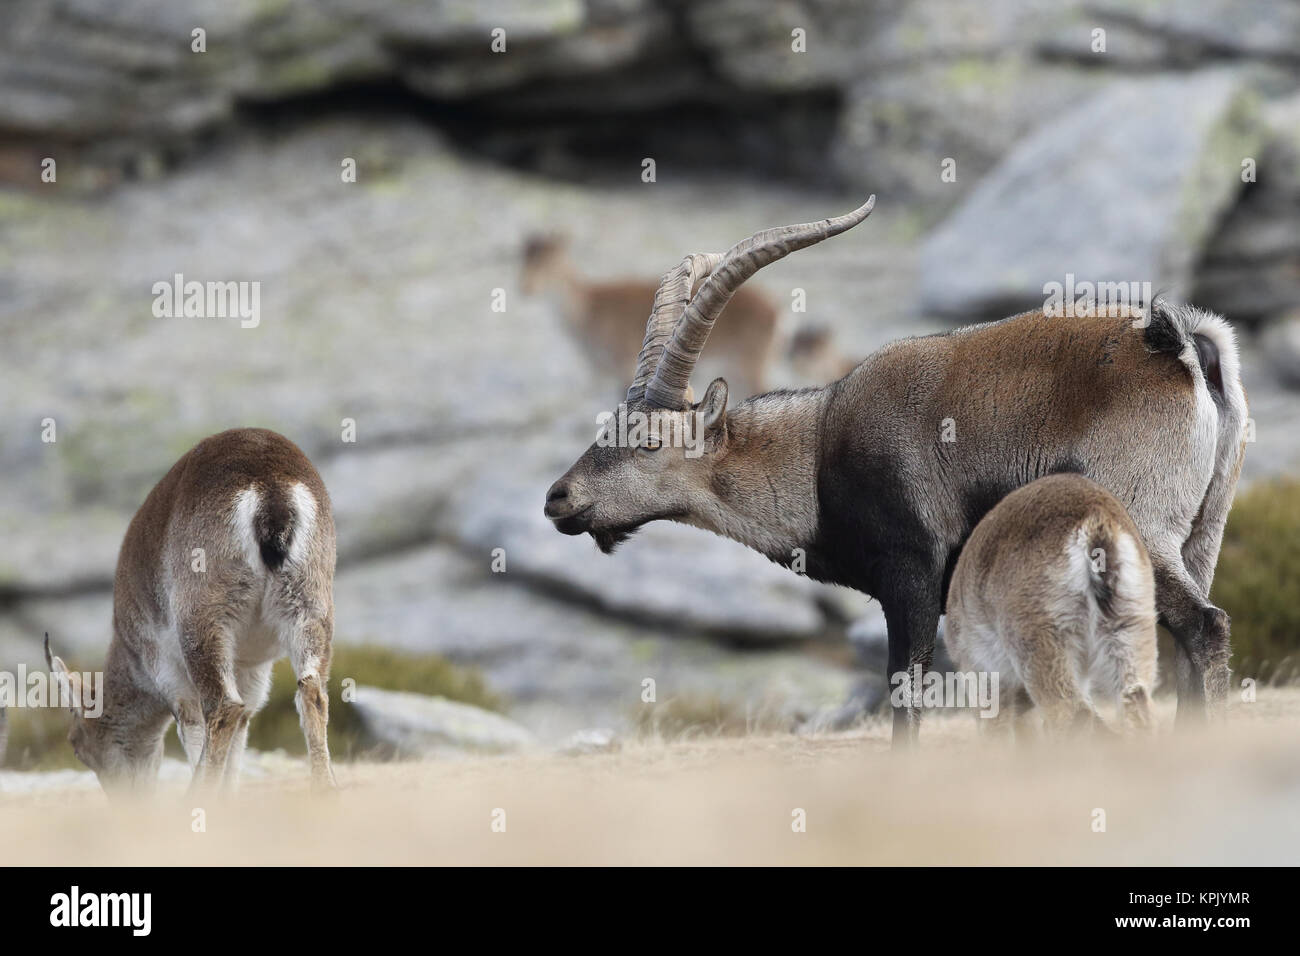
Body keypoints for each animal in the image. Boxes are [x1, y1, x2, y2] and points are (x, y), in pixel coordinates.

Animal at [45, 428, 337, 794]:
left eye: (76, 745)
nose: (124, 800)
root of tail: (271, 489)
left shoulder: (164, 665)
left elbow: (192, 721)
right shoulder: (251, 667)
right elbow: (244, 724)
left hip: (203, 620)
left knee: (224, 707)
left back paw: (195, 794)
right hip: (309, 604)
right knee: (312, 692)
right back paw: (324, 789)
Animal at [521, 232, 779, 399]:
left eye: (550, 262)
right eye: (521, 258)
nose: (526, 287)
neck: (589, 309)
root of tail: (776, 310)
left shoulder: (624, 365)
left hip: (752, 363)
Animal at [944, 473, 1157, 738]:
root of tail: (1095, 522)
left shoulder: (980, 669)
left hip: (1042, 637)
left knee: (1073, 712)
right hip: (1131, 623)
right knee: (1135, 700)